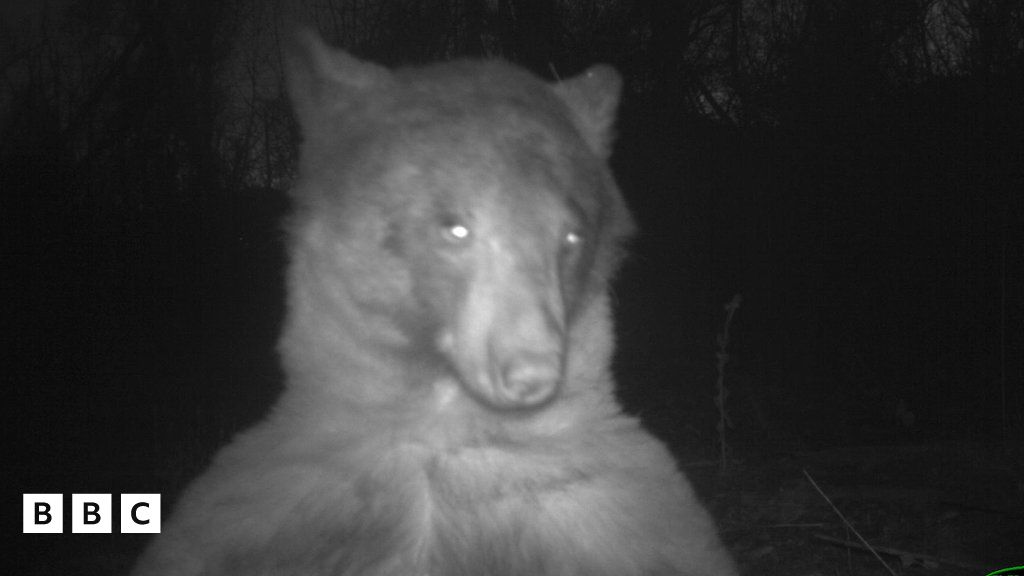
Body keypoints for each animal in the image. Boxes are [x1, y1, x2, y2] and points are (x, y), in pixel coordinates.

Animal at [131, 29, 739, 576]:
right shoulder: (263, 512)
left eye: (571, 237)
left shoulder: (620, 509)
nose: (530, 370)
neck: (445, 426)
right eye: (455, 228)